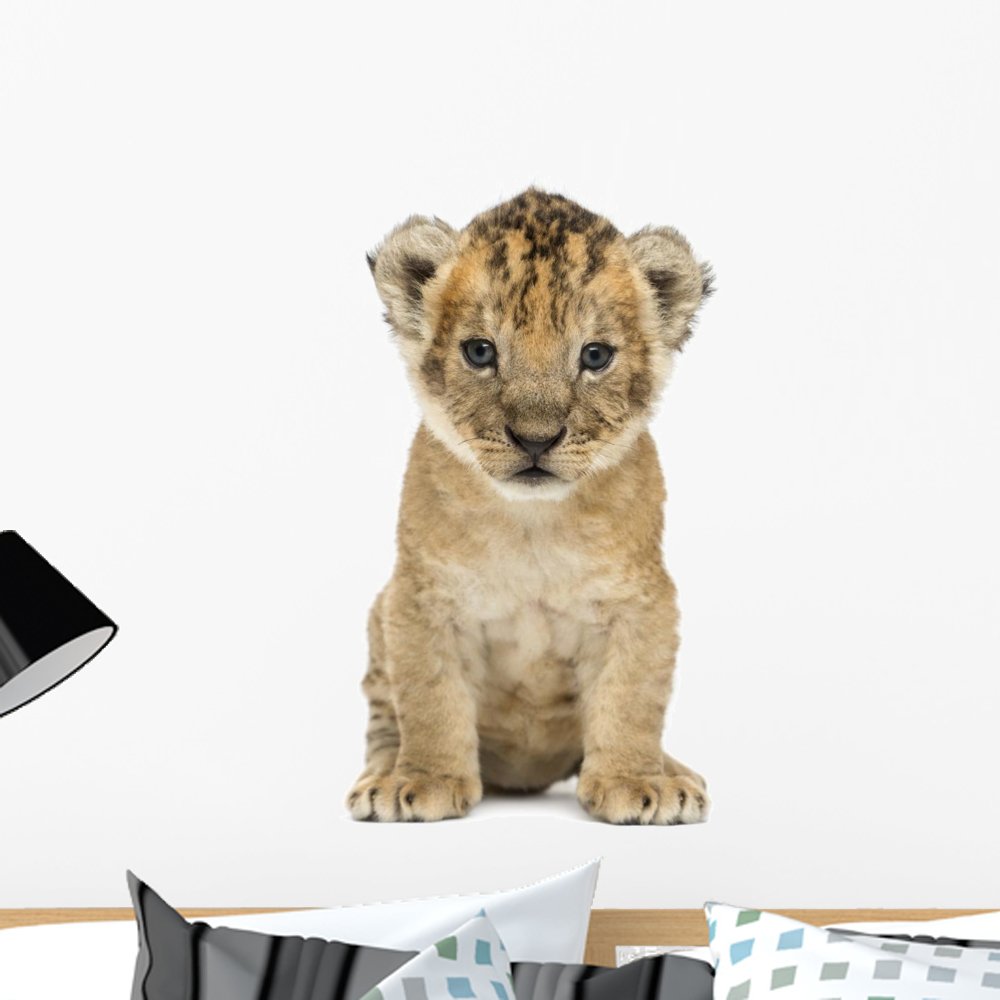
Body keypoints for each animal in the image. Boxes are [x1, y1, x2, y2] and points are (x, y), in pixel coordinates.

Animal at [347, 188, 713, 824]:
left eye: (595, 356)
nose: (536, 440)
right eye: (479, 351)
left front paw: (635, 780)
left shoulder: (642, 602)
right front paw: (426, 779)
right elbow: (429, 697)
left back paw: (674, 772)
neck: (532, 525)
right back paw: (383, 775)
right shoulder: (419, 597)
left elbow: (633, 699)